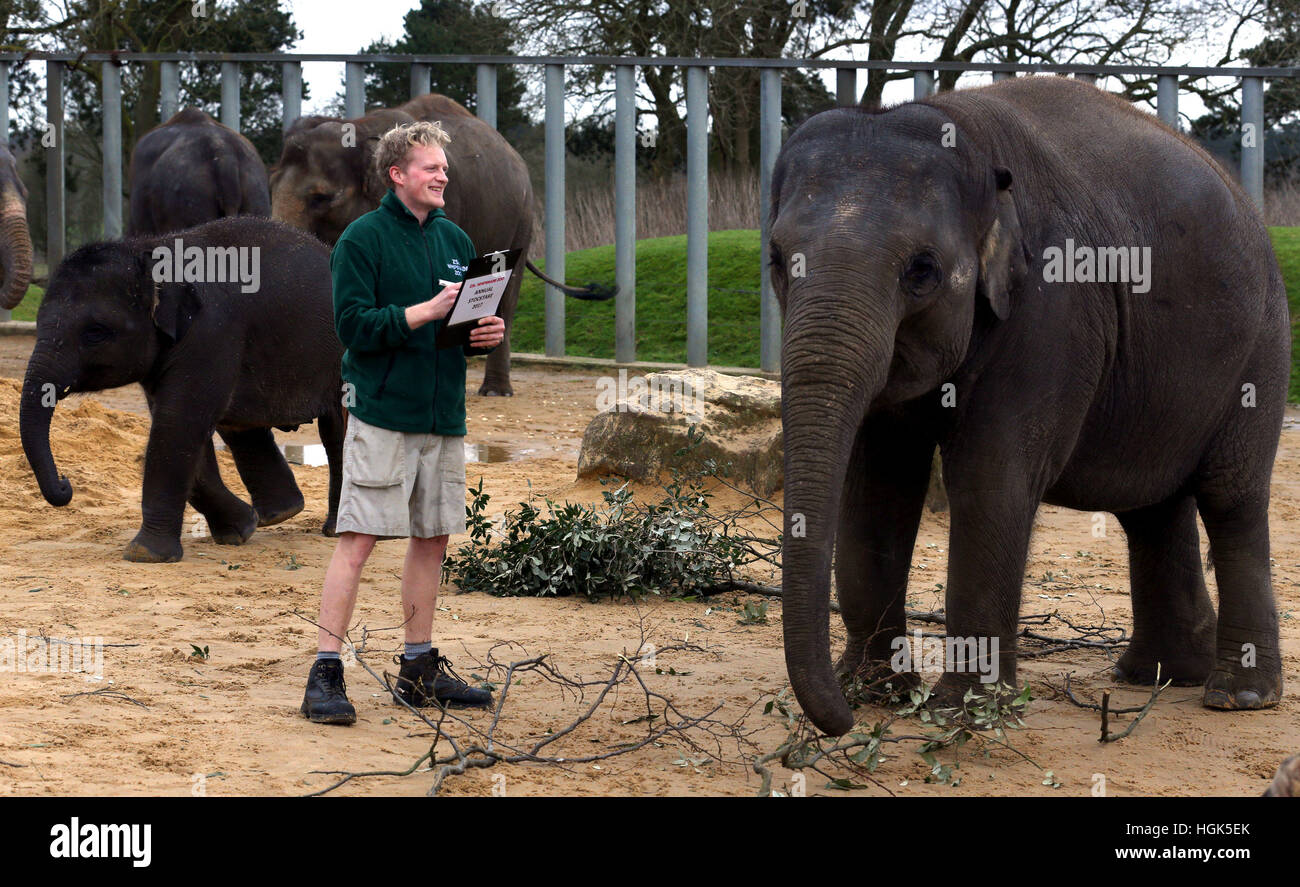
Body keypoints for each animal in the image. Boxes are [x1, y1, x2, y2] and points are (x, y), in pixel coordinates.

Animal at [20, 216, 344, 563]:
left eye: (95, 332)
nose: (65, 484)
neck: (149, 249)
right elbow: (180, 425)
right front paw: (240, 530)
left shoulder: (211, 333)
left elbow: (177, 423)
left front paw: (144, 555)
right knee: (239, 426)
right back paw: (279, 514)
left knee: (337, 430)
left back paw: (333, 530)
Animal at [269, 92, 613, 397]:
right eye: (271, 186)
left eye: (320, 198)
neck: (359, 126)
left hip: (522, 219)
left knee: (509, 292)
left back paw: (495, 391)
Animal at [770, 76, 1289, 736]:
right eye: (778, 261)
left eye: (922, 270)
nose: (840, 722)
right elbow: (877, 482)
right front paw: (877, 692)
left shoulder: (1054, 306)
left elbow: (991, 476)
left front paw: (962, 714)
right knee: (1151, 508)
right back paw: (1158, 676)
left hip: (1262, 348)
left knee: (1230, 498)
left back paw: (1236, 696)